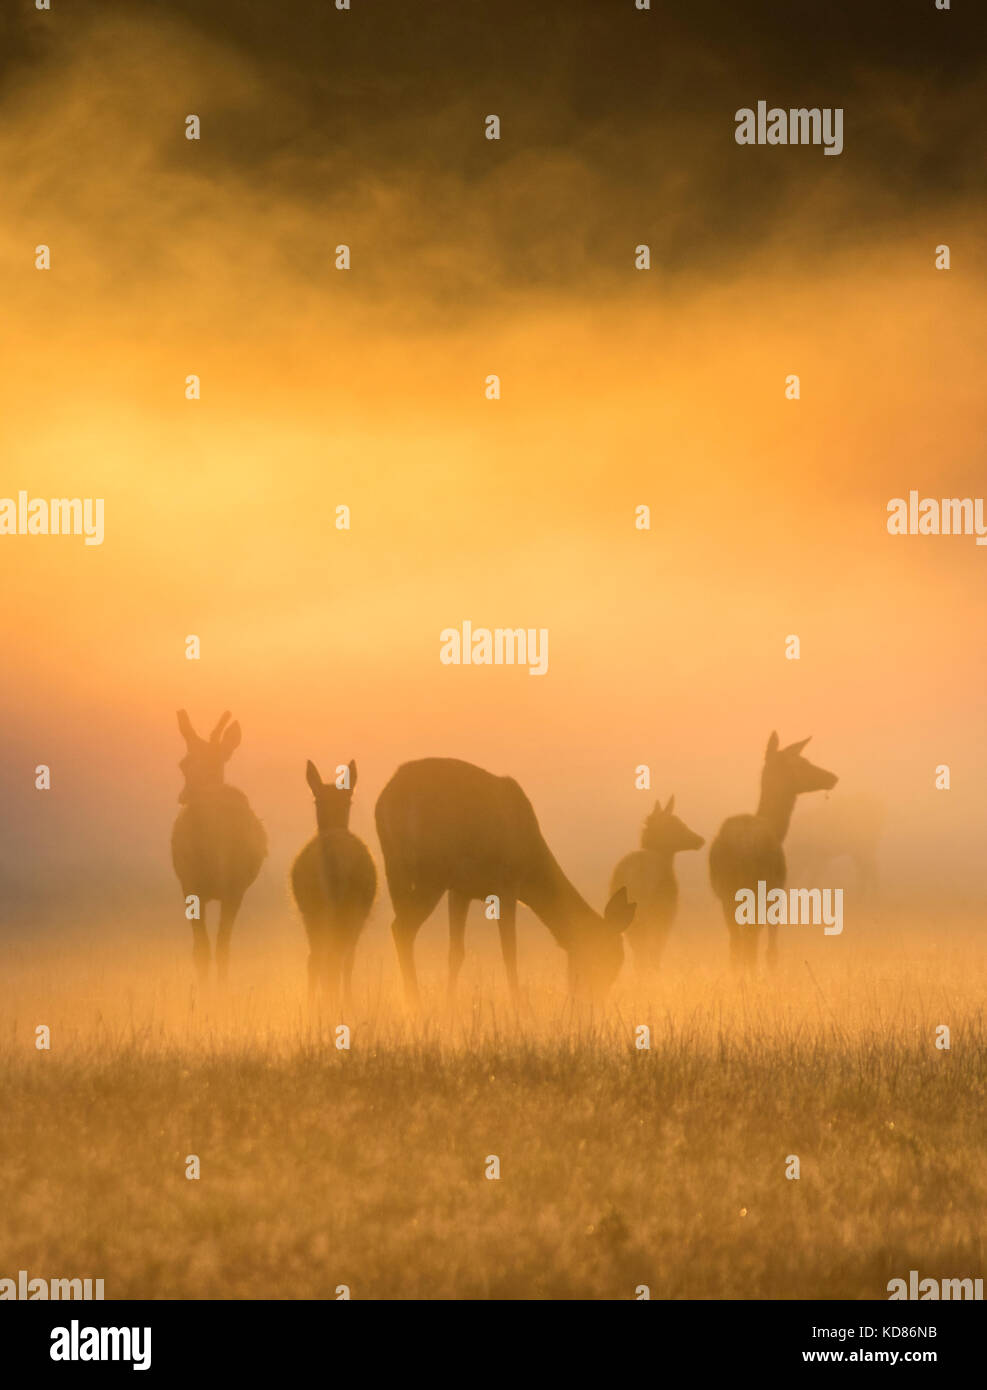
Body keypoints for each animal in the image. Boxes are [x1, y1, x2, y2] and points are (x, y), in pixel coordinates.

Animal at [171, 710, 267, 985]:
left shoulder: (234, 890)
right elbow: (201, 949)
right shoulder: (189, 886)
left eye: (216, 762)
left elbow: (222, 946)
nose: (185, 795)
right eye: (184, 763)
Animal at [291, 759, 376, 1010]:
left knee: (320, 957)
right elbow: (348, 960)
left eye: (348, 800)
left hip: (315, 911)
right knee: (333, 957)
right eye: (317, 800)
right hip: (341, 910)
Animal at [374, 757, 635, 1008]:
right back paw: (415, 1005)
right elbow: (510, 951)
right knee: (402, 927)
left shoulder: (460, 890)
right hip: (432, 873)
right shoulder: (507, 884)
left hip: (396, 870)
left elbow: (456, 952)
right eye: (604, 959)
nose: (592, 1003)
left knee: (402, 927)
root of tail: (388, 799)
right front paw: (518, 1006)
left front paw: (450, 1005)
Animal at [610, 796, 705, 972]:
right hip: (652, 914)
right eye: (675, 823)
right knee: (648, 949)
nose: (700, 840)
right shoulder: (667, 917)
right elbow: (657, 949)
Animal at [708, 732, 838, 970]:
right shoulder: (777, 892)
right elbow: (771, 950)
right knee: (750, 943)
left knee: (736, 945)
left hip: (728, 893)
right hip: (758, 887)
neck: (778, 830)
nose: (832, 777)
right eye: (802, 762)